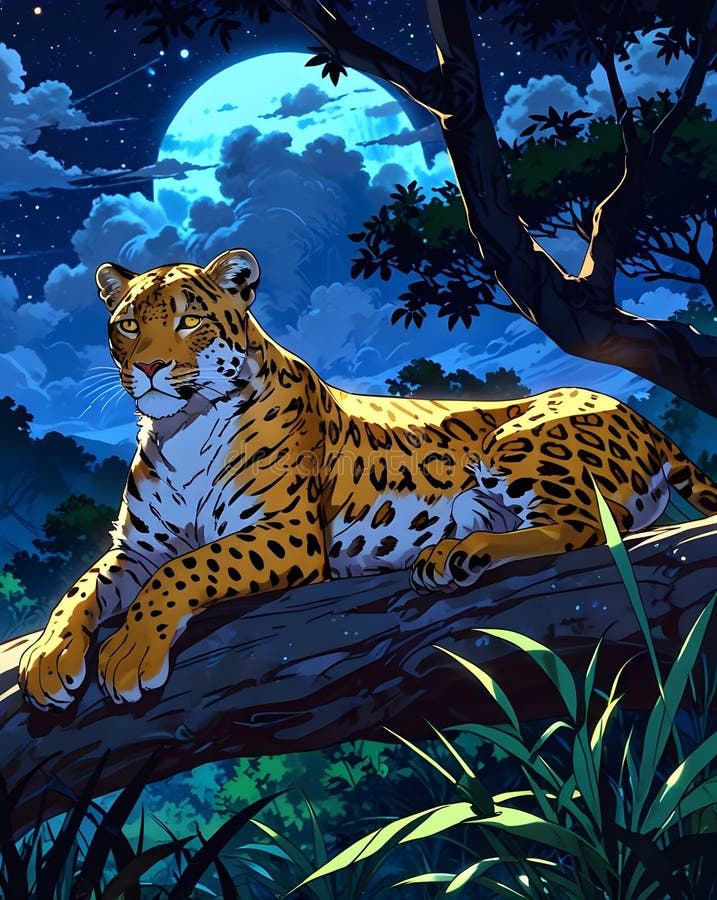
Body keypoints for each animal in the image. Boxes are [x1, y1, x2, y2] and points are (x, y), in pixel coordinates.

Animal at [18, 247, 717, 708]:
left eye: (191, 320)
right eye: (129, 325)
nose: (150, 368)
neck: (181, 430)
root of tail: (640, 416)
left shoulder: (288, 535)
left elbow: (187, 569)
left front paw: (129, 654)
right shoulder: (136, 548)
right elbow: (82, 589)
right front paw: (48, 658)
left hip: (516, 441)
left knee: (579, 526)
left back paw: (457, 556)